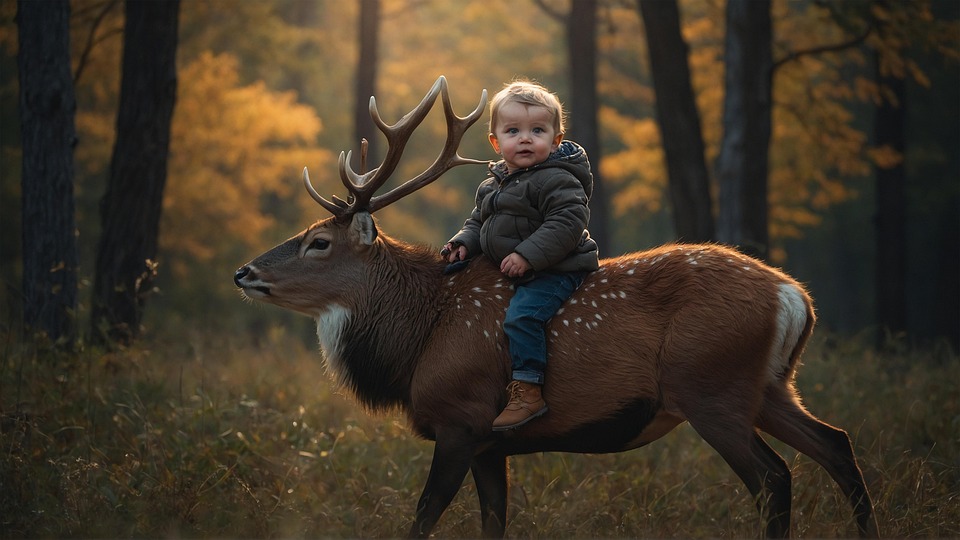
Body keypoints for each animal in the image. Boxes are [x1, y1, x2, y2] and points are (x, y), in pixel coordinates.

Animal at [234, 76, 878, 538]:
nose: (244, 272)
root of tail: (795, 299)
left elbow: (423, 516)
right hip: (769, 386)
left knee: (775, 478)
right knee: (838, 445)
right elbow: (494, 524)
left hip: (712, 386)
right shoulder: (490, 444)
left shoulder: (463, 417)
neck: (417, 345)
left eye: (319, 241)